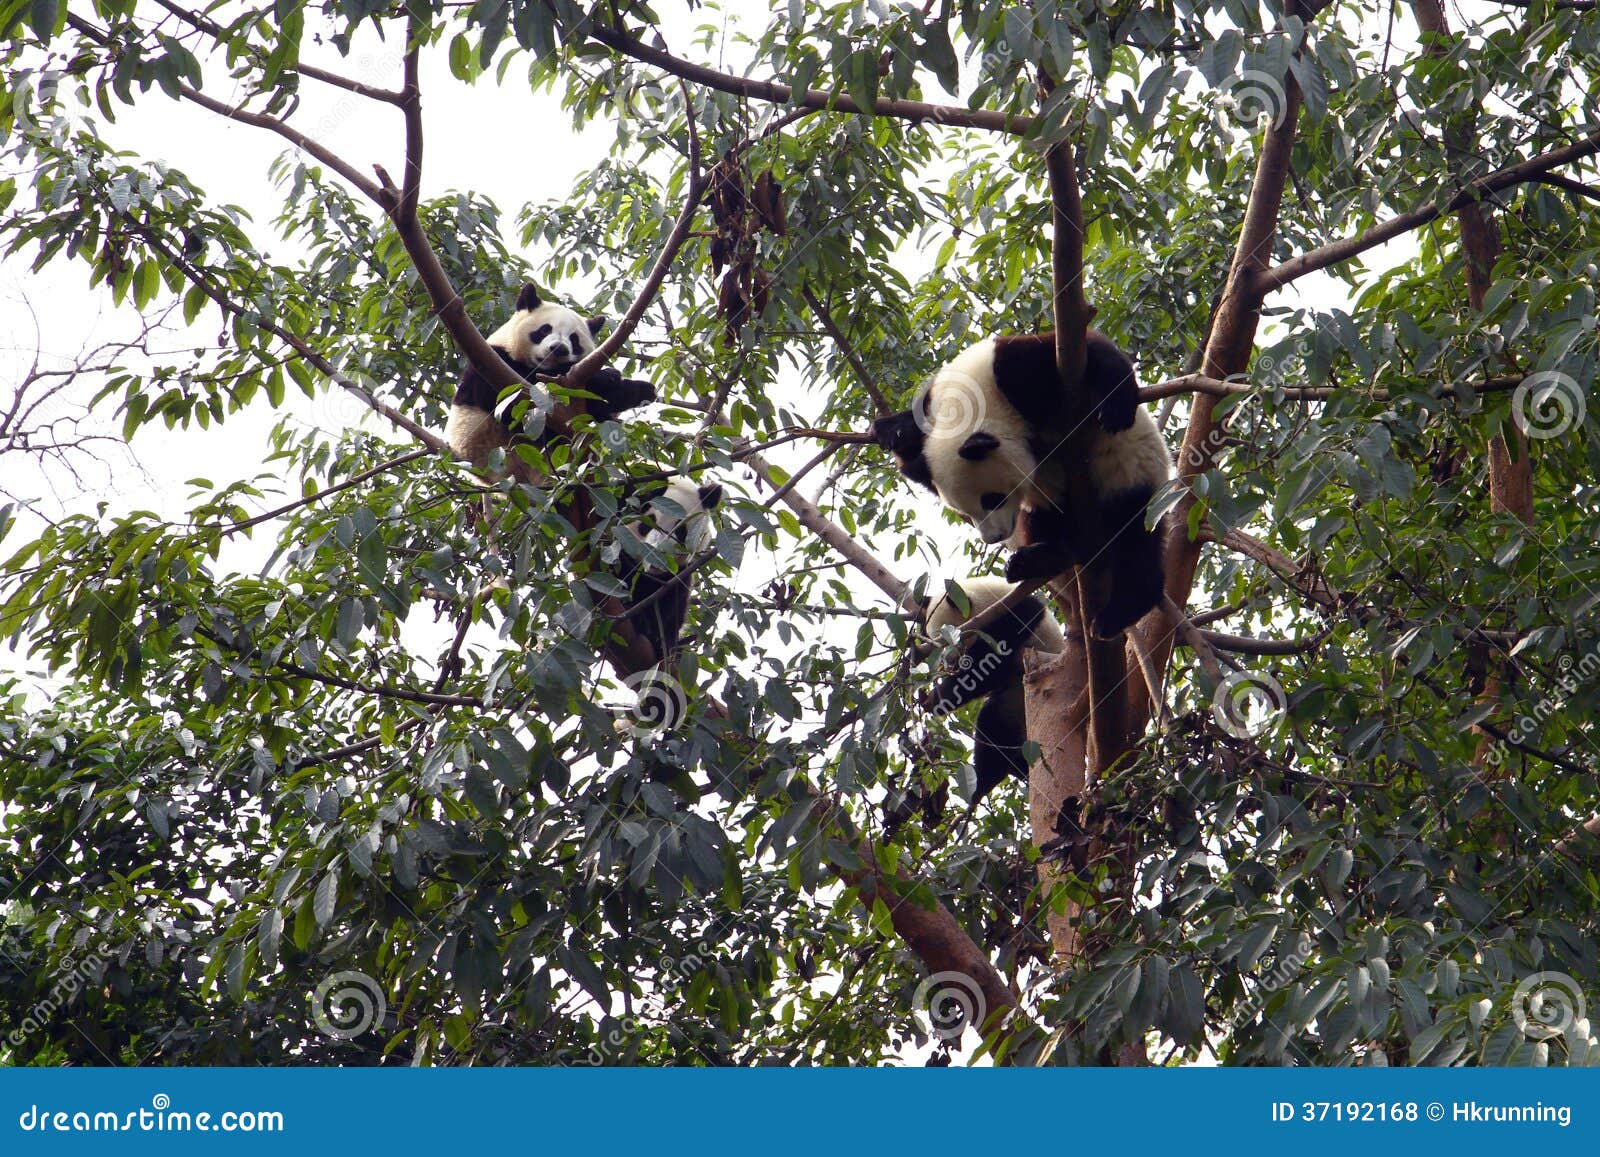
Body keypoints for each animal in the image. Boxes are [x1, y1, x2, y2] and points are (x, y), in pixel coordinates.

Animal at [446, 283, 657, 482]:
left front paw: (640, 391)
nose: (559, 349)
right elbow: (508, 398)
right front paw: (605, 376)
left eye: (574, 339)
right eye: (545, 329)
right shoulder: (492, 363)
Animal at [612, 477, 725, 662]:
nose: (657, 554)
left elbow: (672, 606)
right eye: (647, 523)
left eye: (681, 530)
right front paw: (638, 618)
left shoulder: (680, 574)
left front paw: (661, 640)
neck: (652, 575)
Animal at [873, 331, 1172, 639]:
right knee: (1050, 522)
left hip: (1132, 477)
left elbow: (1094, 351)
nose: (994, 538)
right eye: (966, 514)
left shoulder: (1020, 368)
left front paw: (1115, 411)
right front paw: (892, 431)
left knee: (1133, 537)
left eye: (992, 499)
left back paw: (1116, 613)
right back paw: (1039, 558)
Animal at [924, 576, 1065, 804]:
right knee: (993, 732)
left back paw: (982, 785)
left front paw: (938, 697)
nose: (949, 663)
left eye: (950, 641)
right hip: (1009, 706)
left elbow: (987, 663)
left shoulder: (1020, 617)